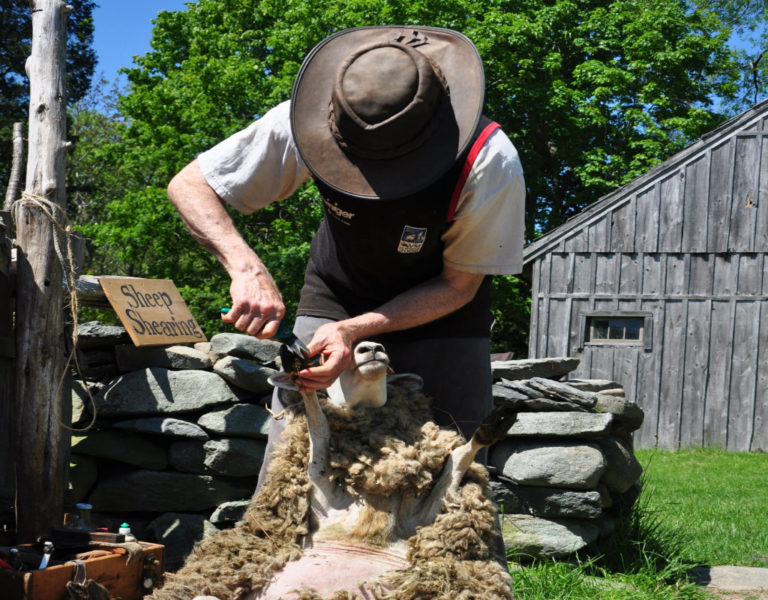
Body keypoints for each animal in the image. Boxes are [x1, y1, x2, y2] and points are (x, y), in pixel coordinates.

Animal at [147, 341, 517, 600]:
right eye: (331, 363)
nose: (372, 347)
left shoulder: (423, 515)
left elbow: (457, 464)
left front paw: (493, 424)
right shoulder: (320, 482)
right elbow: (318, 429)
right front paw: (299, 371)